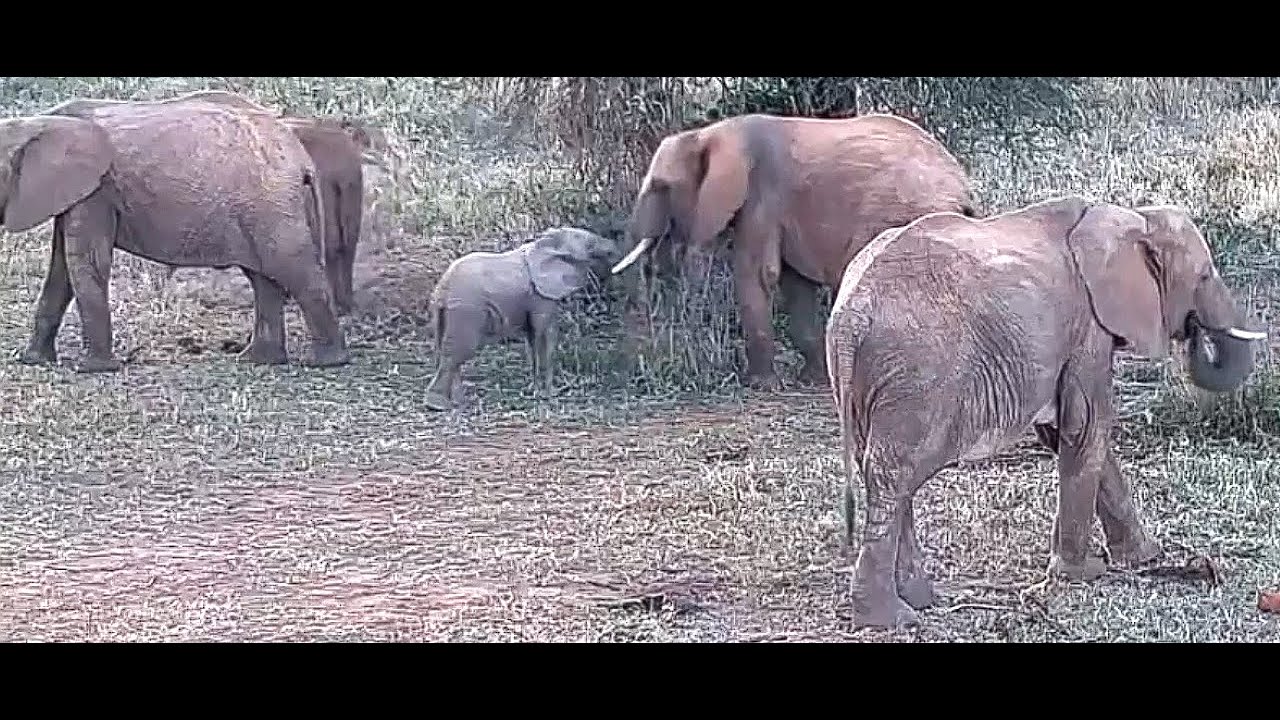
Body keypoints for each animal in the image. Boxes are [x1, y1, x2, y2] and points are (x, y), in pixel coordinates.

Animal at [2, 90, 349, 372]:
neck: (38, 123)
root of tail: (301, 157)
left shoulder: (96, 190)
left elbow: (85, 262)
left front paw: (92, 369)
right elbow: (62, 267)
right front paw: (32, 360)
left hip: (271, 207)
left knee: (294, 269)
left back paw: (327, 362)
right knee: (266, 278)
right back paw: (258, 360)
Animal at [423, 227, 621, 411]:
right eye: (588, 242)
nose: (615, 246)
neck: (547, 243)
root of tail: (443, 288)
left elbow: (532, 338)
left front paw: (534, 389)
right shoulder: (541, 295)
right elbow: (545, 332)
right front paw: (549, 393)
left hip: (443, 311)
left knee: (444, 348)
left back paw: (457, 402)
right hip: (466, 309)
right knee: (458, 351)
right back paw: (439, 405)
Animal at [610, 112, 975, 391]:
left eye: (661, 187)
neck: (712, 133)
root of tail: (962, 187)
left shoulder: (762, 198)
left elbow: (758, 274)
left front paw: (760, 385)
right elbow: (794, 281)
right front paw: (812, 380)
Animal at [824, 195, 1268, 629]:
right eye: (1204, 276)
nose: (1195, 332)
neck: (1132, 216)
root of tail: (852, 315)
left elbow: (1069, 433)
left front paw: (1143, 557)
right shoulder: (1088, 325)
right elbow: (1085, 425)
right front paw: (1083, 573)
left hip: (867, 382)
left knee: (887, 474)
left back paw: (919, 600)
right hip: (917, 374)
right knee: (893, 473)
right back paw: (891, 619)